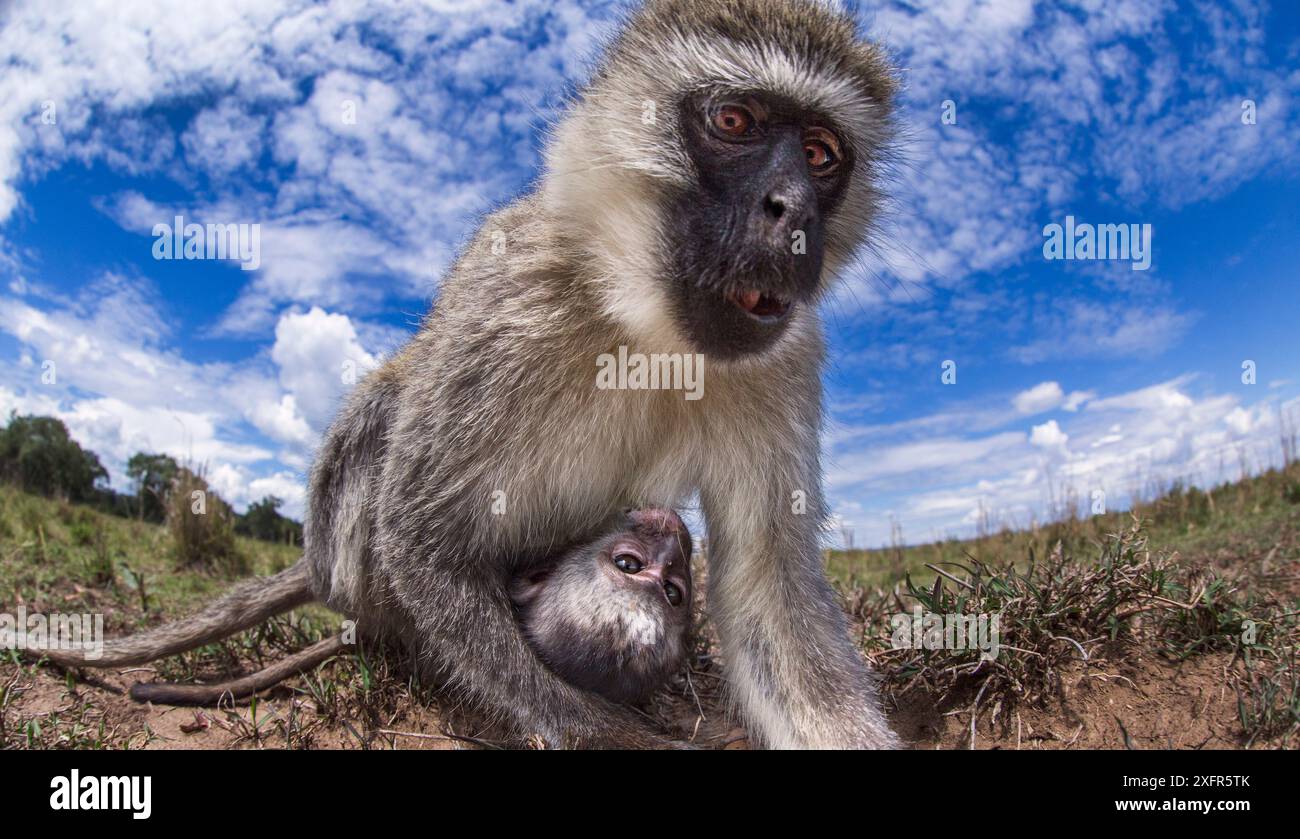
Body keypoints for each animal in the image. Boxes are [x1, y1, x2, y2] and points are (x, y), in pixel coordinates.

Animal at [40, 0, 900, 749]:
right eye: (735, 122)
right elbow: (422, 536)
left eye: (820, 154)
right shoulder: (510, 292)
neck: (647, 323)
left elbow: (764, 592)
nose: (792, 210)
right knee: (386, 411)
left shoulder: (784, 359)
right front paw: (606, 730)